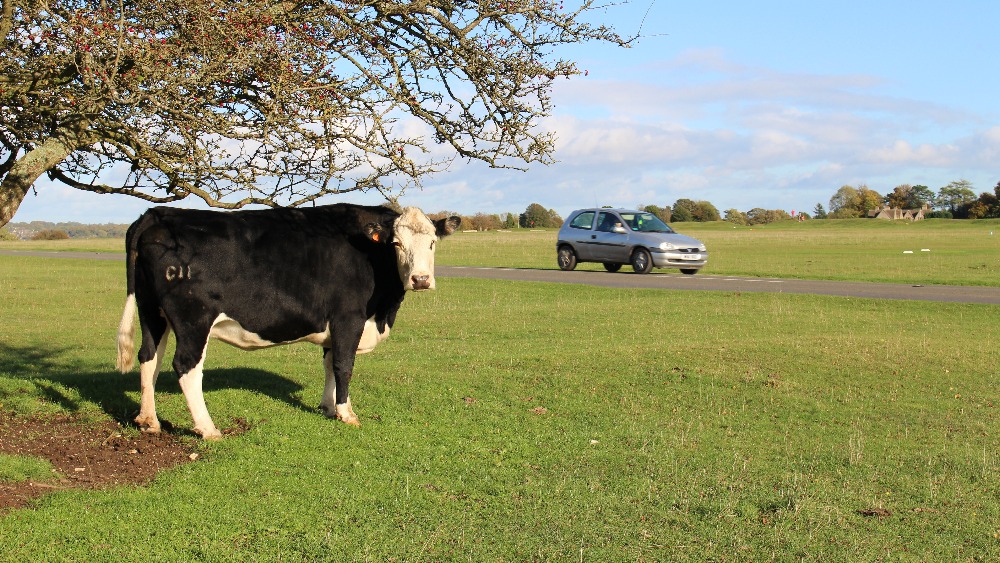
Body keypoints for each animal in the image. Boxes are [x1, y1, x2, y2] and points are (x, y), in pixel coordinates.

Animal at [115, 203, 460, 439]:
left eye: (432, 242)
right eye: (397, 244)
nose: (420, 279)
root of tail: (159, 213)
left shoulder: (333, 326)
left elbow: (329, 363)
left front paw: (328, 406)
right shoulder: (348, 318)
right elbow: (344, 365)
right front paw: (346, 413)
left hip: (151, 312)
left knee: (149, 357)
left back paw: (149, 421)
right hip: (193, 319)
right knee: (186, 366)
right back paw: (208, 428)